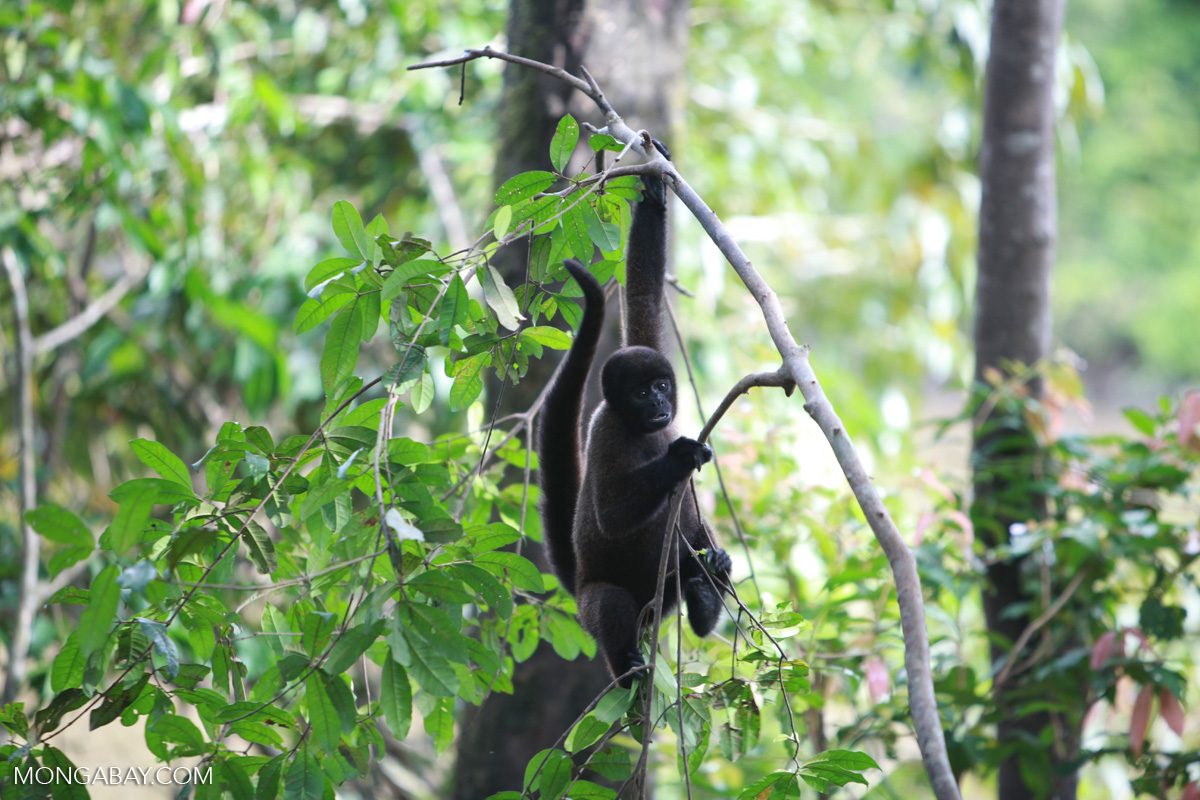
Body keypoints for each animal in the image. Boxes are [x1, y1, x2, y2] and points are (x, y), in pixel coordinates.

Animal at [537, 143, 732, 688]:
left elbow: (642, 296)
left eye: (662, 385)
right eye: (642, 394)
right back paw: (627, 670)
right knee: (610, 603)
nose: (662, 406)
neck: (640, 428)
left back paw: (705, 597)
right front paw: (681, 457)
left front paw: (654, 196)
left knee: (695, 554)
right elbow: (610, 512)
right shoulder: (605, 427)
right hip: (596, 601)